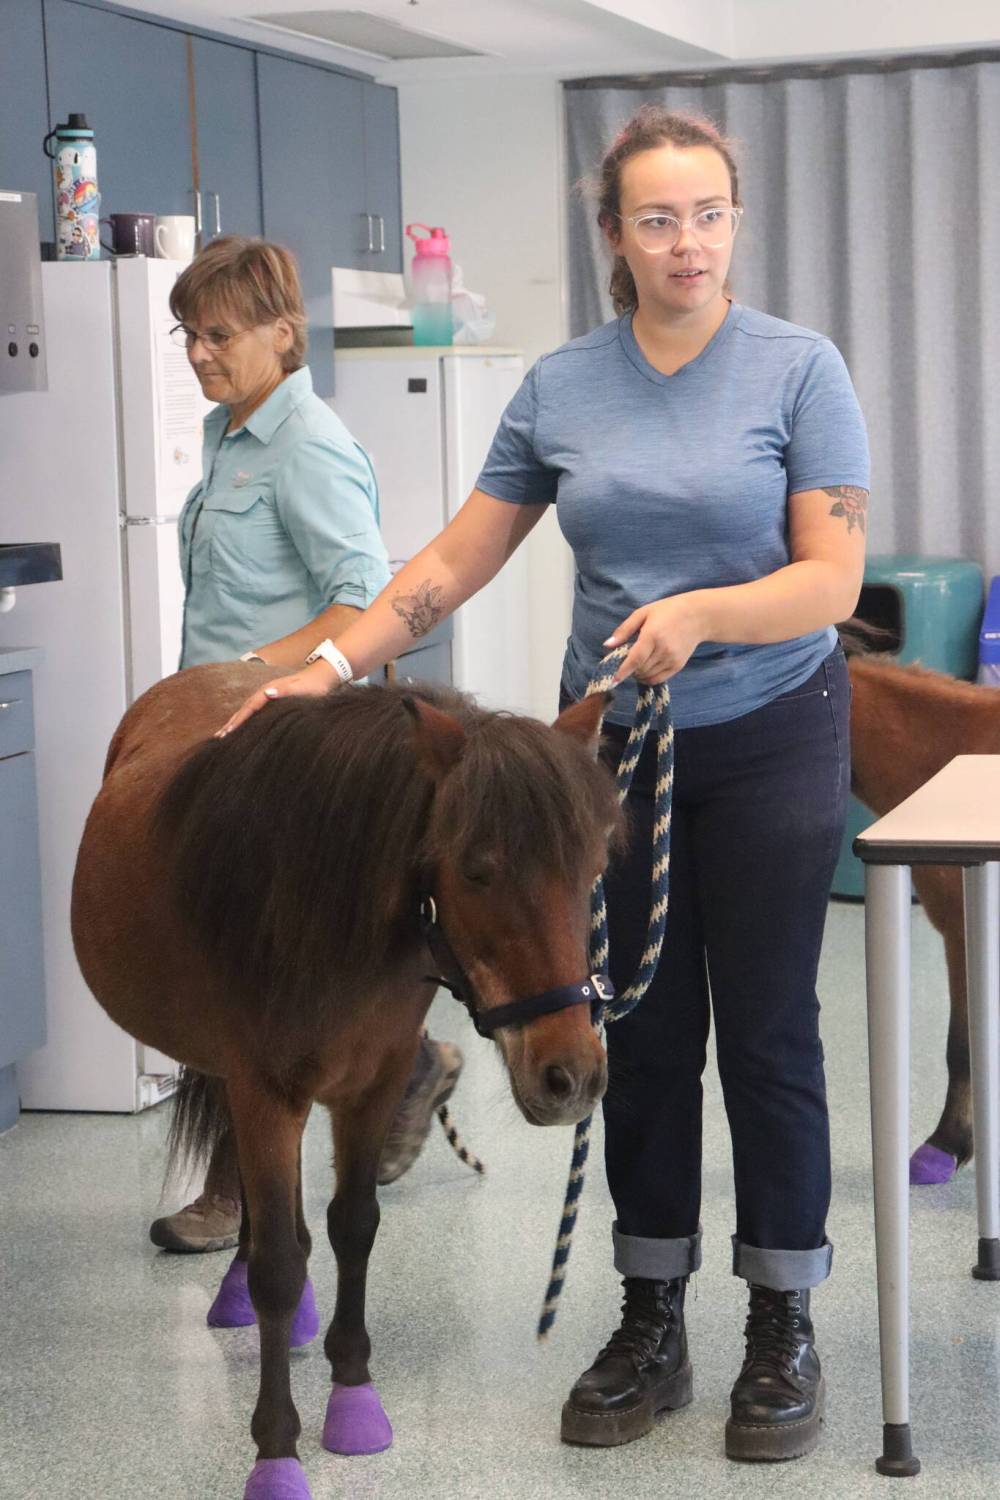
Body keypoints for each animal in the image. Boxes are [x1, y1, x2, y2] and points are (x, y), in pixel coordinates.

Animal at [70, 662, 623, 1500]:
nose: (572, 1077)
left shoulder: (372, 1085)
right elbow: (277, 1264)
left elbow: (353, 1226)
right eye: (476, 870)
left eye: (592, 870)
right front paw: (276, 1452)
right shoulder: (267, 1091)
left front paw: (354, 1399)